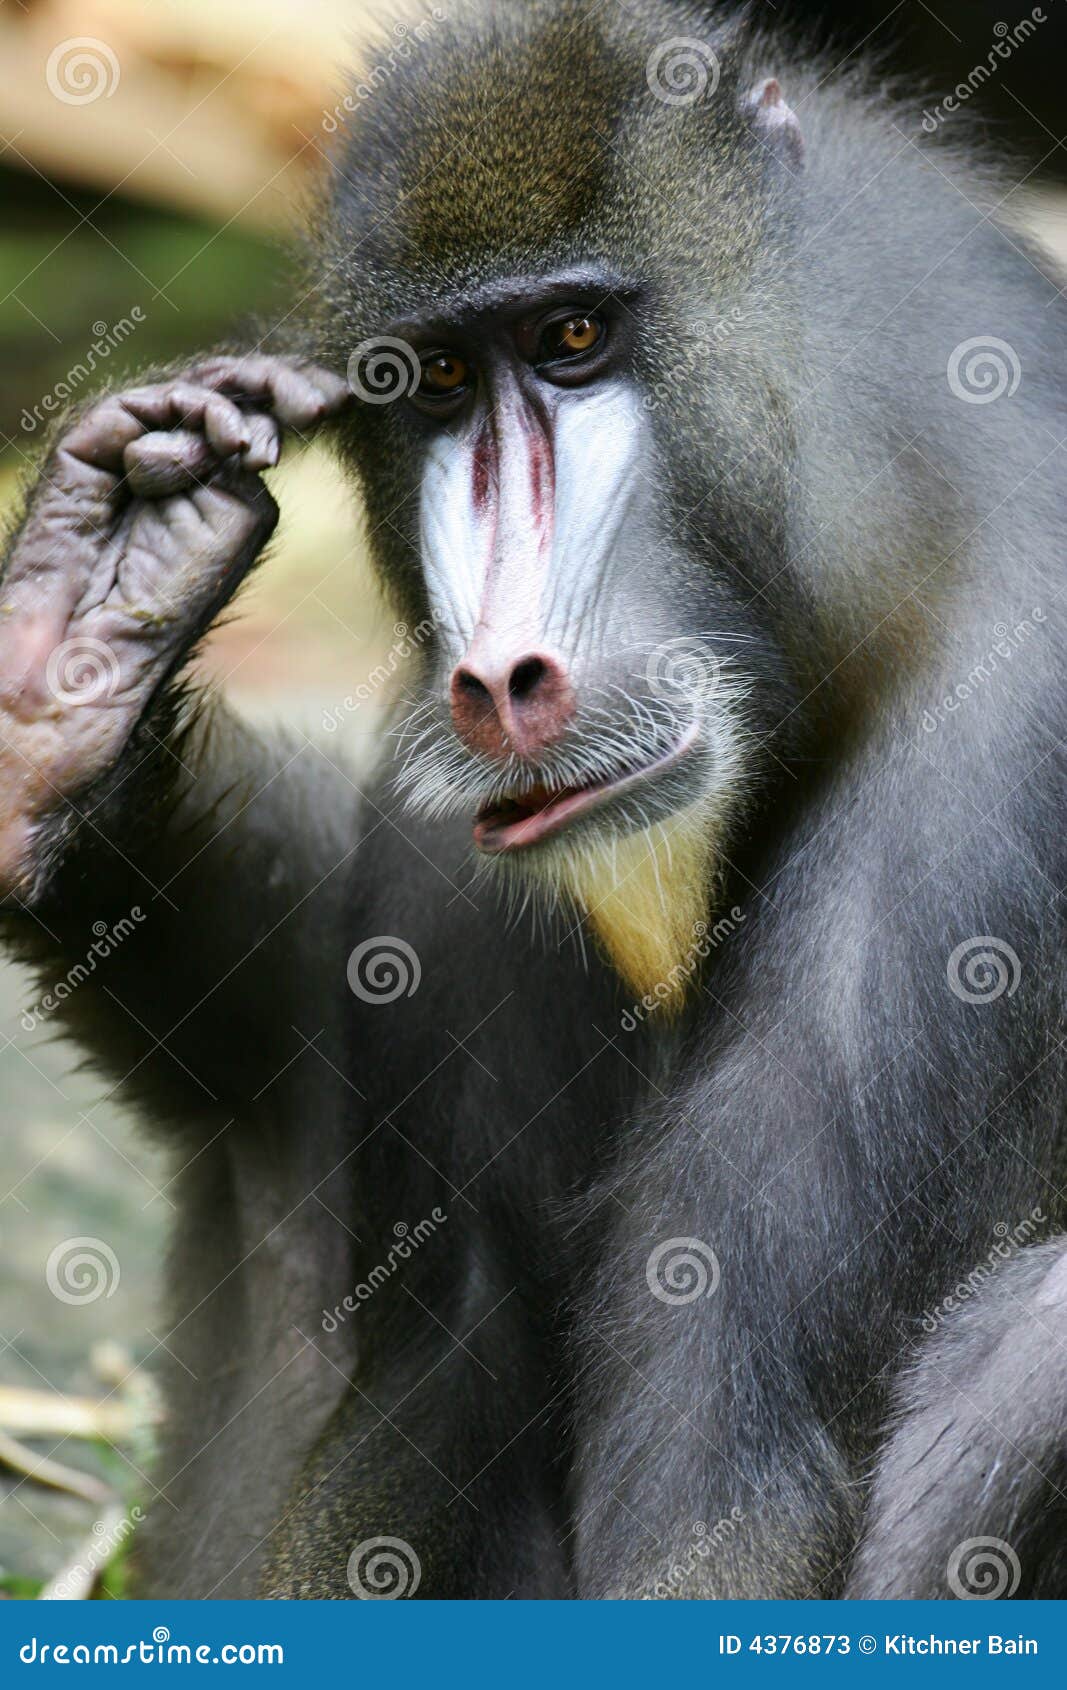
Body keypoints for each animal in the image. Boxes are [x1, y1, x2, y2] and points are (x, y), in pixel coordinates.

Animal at [1, 0, 1066, 1599]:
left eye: (571, 341)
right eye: (438, 383)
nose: (501, 678)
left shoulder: (968, 816)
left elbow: (717, 1493)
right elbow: (442, 1346)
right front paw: (97, 630)